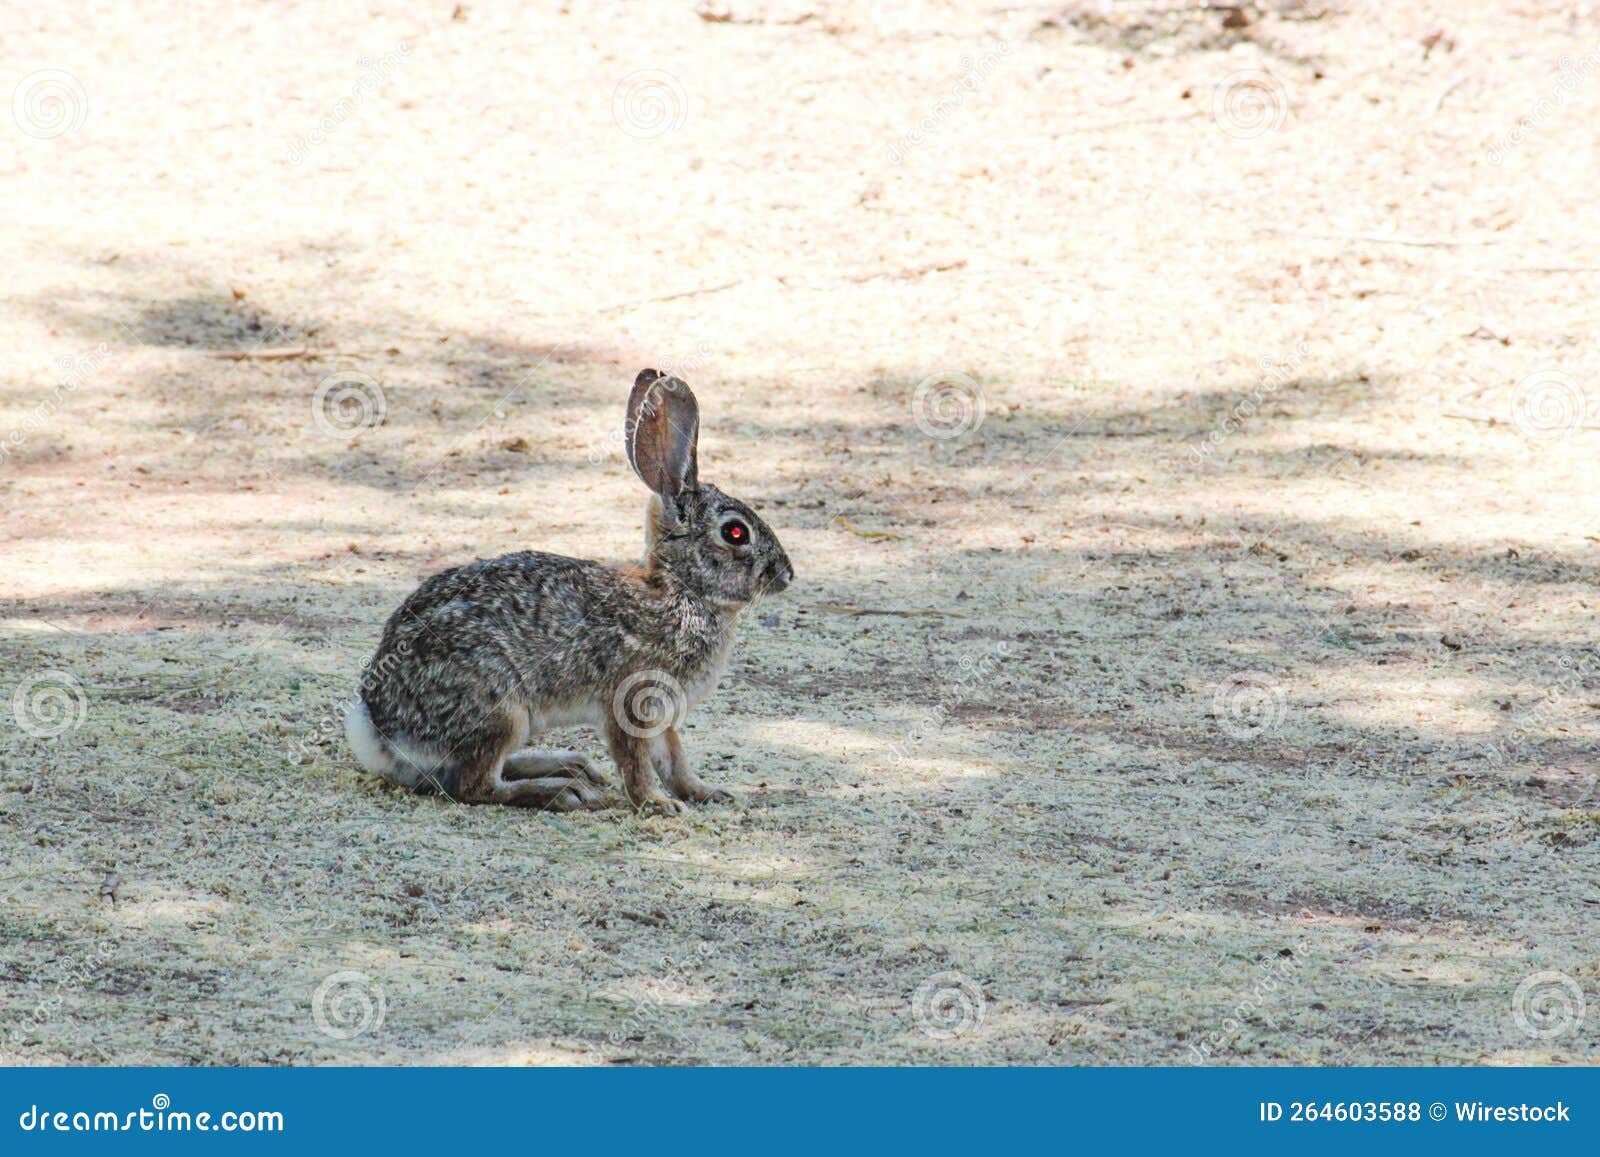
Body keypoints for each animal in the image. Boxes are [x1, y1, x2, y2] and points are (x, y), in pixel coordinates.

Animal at [344, 369, 794, 815]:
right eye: (735, 533)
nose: (787, 574)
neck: (681, 591)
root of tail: (379, 729)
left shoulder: (663, 711)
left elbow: (674, 758)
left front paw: (705, 792)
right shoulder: (629, 699)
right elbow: (636, 763)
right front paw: (657, 804)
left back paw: (572, 766)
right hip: (500, 710)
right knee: (476, 785)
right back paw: (562, 791)